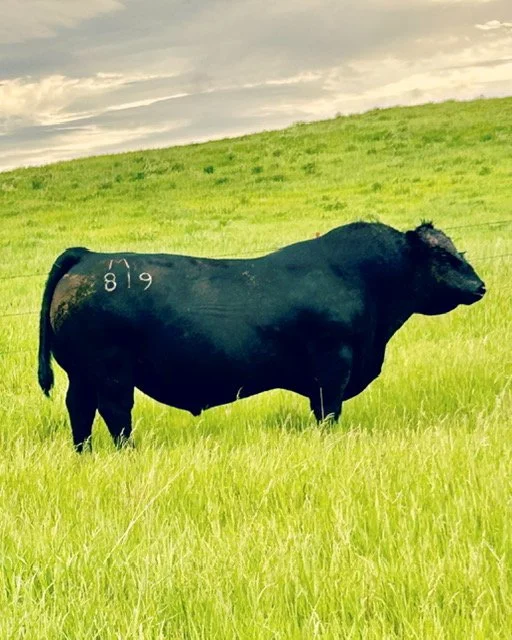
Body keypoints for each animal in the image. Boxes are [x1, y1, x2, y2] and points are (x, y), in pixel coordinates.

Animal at [38, 221, 486, 451]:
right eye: (443, 255)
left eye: (459, 251)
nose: (480, 286)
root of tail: (90, 257)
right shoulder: (333, 363)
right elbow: (329, 410)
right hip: (111, 372)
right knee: (115, 414)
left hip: (83, 373)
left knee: (80, 410)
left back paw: (83, 453)